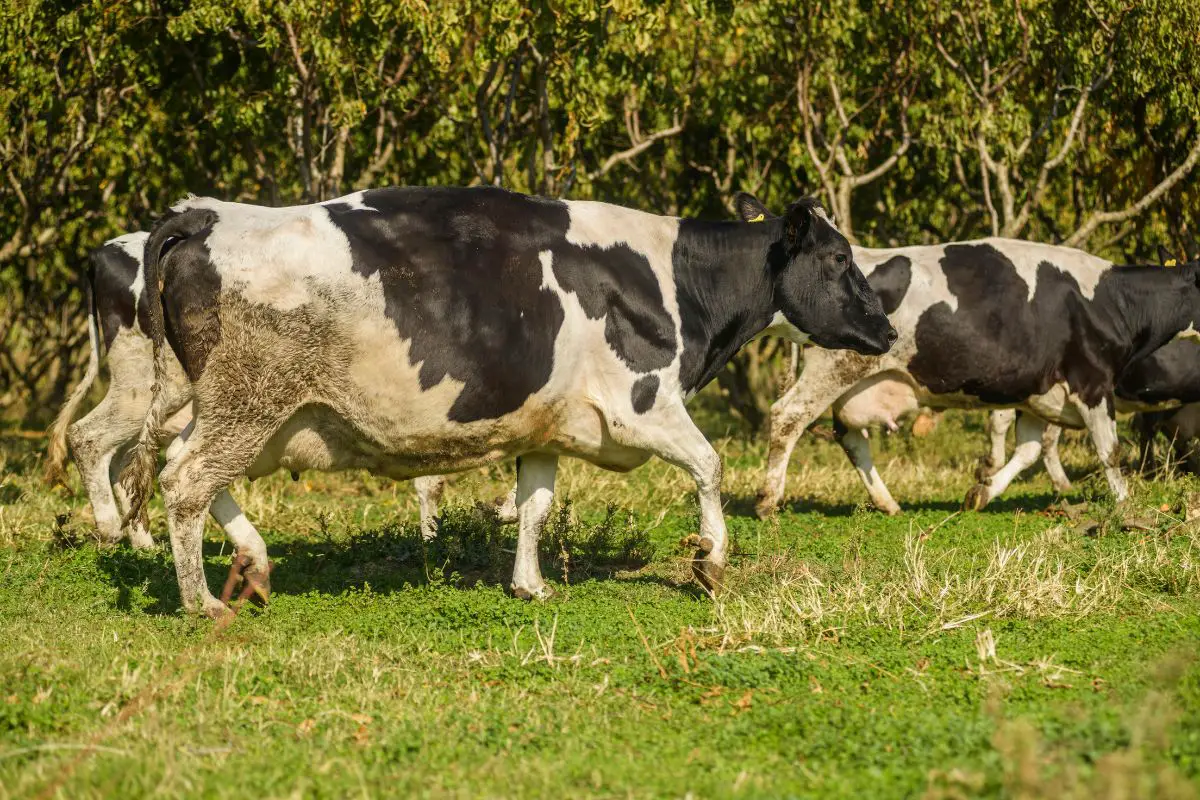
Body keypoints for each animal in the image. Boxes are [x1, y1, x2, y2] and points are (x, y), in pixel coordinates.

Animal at [115, 186, 896, 616]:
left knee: (184, 469)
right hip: (250, 402)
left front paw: (530, 585)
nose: (887, 328)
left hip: (243, 411)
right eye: (839, 259)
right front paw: (711, 562)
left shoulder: (545, 427)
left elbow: (535, 506)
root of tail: (208, 217)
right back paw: (200, 602)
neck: (672, 281)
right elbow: (709, 466)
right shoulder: (641, 401)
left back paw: (253, 561)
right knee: (185, 481)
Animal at [736, 194, 1200, 518]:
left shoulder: (1037, 392)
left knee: (850, 437)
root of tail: (861, 255)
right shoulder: (1092, 380)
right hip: (832, 369)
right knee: (788, 416)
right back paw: (768, 501)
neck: (1112, 300)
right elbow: (1109, 451)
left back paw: (888, 503)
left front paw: (982, 492)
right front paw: (1125, 502)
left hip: (858, 379)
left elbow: (1029, 450)